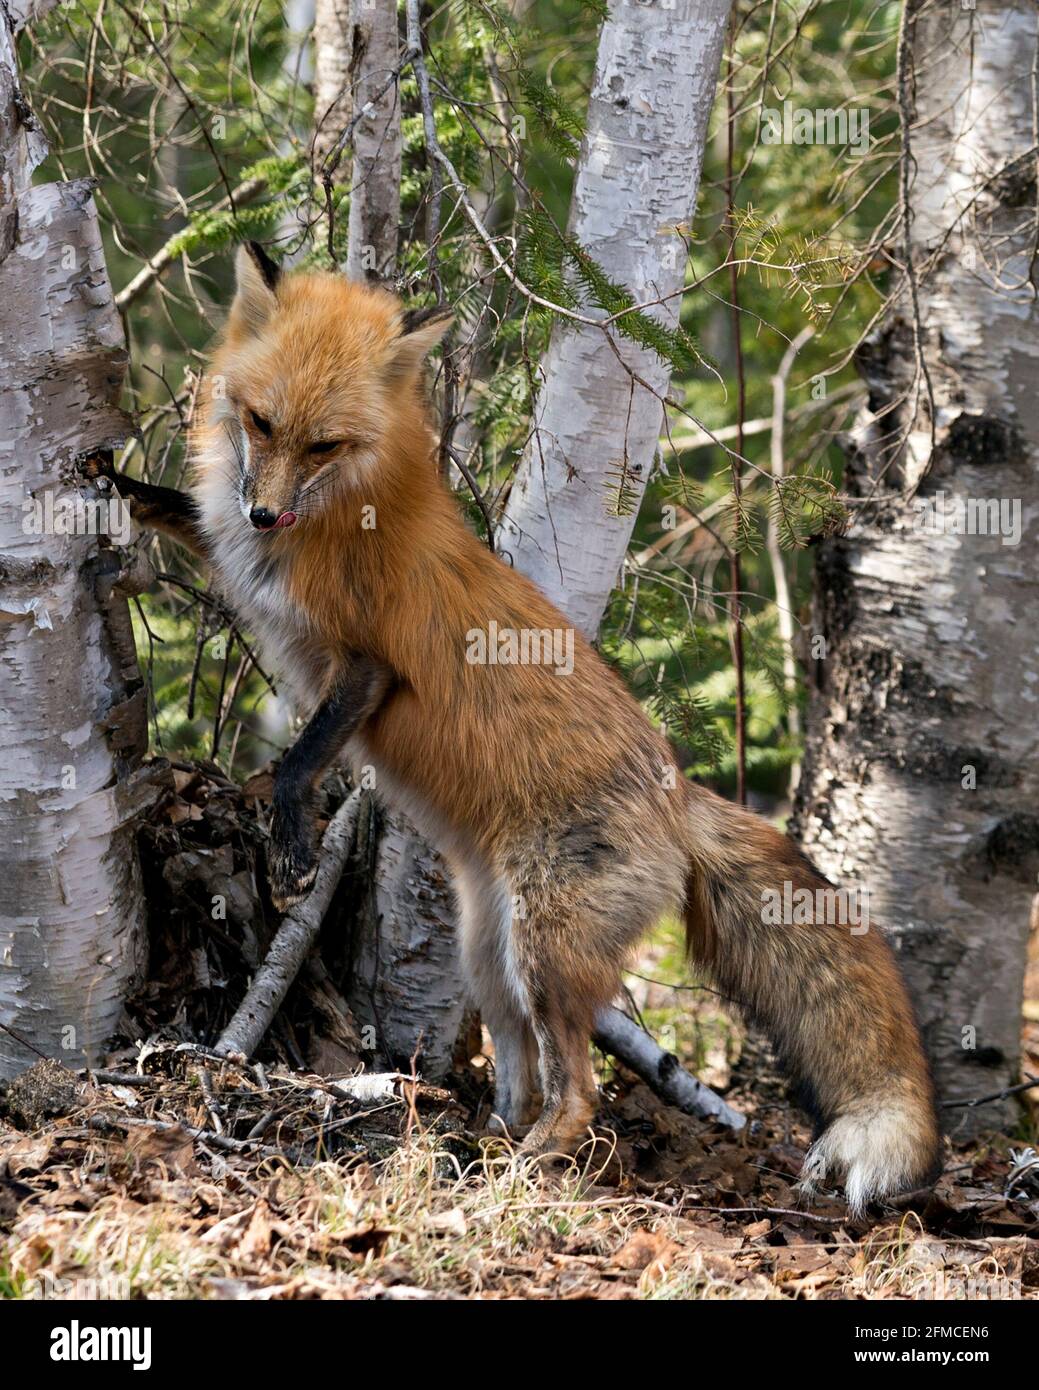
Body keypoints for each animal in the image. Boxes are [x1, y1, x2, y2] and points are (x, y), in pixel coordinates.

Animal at [89, 242, 941, 1212]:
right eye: (260, 423)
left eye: (323, 444)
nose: (265, 512)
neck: (337, 512)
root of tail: (677, 790)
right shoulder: (235, 549)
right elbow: (178, 511)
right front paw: (116, 482)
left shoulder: (369, 665)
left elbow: (306, 754)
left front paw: (291, 833)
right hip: (488, 954)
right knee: (521, 1072)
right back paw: (479, 1142)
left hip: (548, 954)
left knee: (580, 1096)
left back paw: (526, 1171)